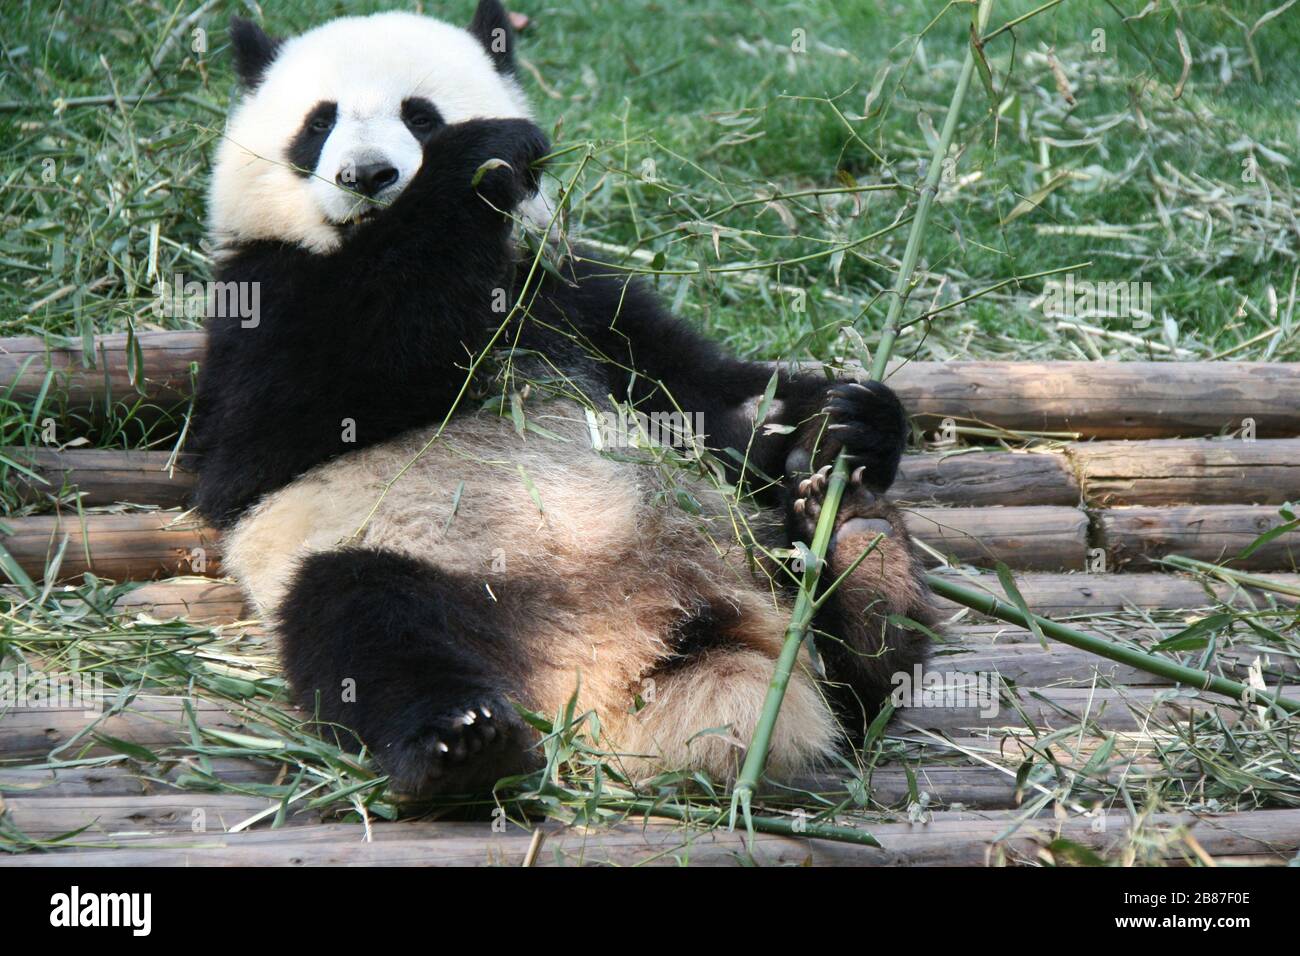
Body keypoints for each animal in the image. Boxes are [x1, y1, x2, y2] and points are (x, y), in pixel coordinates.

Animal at [193, 2, 934, 796]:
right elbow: (277, 424)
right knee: (363, 625)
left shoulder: (575, 295)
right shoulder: (256, 297)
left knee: (849, 668)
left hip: (736, 541)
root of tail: (620, 659)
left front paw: (847, 417)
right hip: (401, 555)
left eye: (419, 115)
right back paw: (459, 743)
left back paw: (862, 558)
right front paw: (479, 161)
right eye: (319, 123)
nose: (367, 175)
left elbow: (711, 400)